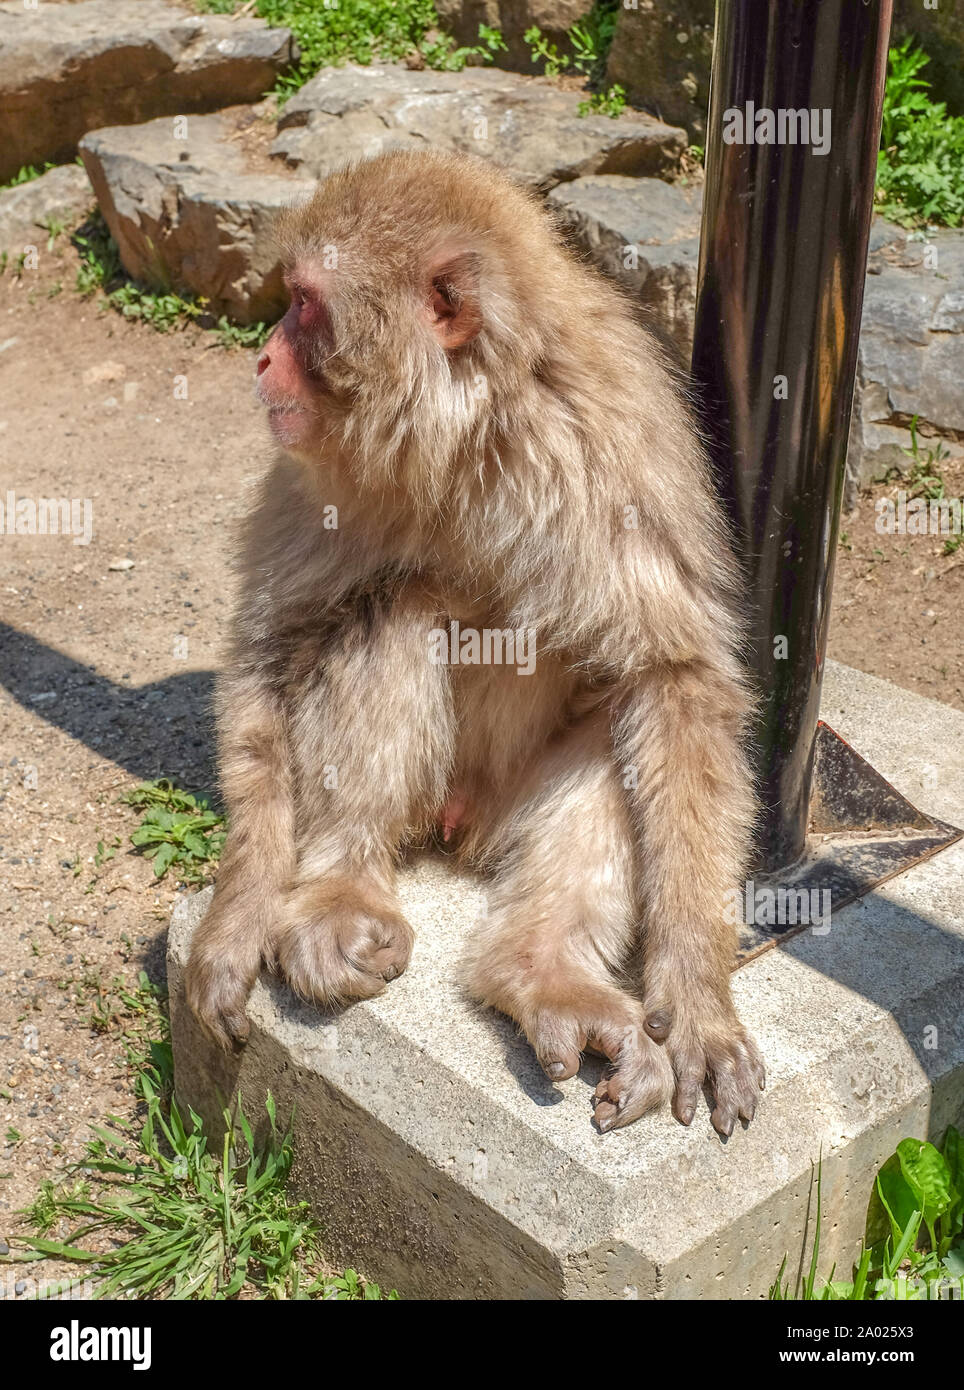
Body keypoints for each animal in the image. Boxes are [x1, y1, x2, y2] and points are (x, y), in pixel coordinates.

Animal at [185, 147, 765, 1136]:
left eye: (303, 304)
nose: (261, 355)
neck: (466, 434)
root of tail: (459, 821)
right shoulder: (309, 473)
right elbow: (270, 647)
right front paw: (236, 918)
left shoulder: (613, 438)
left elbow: (673, 678)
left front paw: (696, 999)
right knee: (396, 606)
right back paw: (339, 893)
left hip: (508, 802)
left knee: (619, 719)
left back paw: (539, 971)